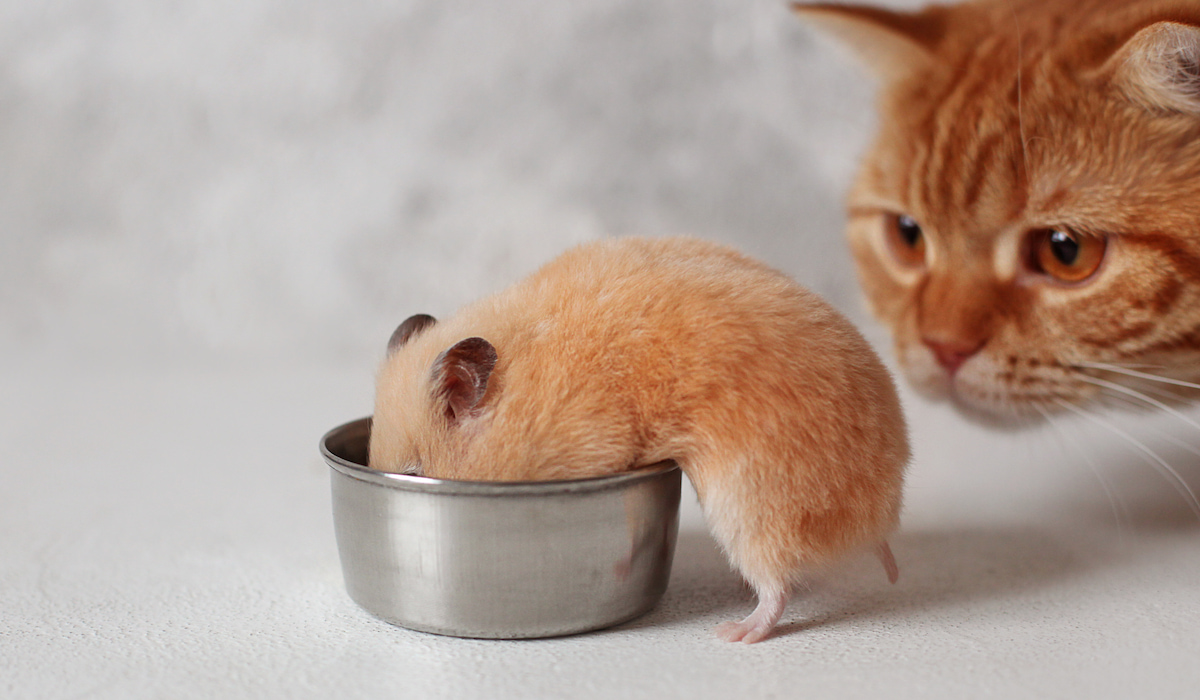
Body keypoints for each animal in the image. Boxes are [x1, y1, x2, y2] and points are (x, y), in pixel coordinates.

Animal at [369, 236, 909, 643]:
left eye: (414, 472)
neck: (519, 394)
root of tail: (878, 512)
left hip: (753, 504)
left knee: (776, 585)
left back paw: (734, 633)